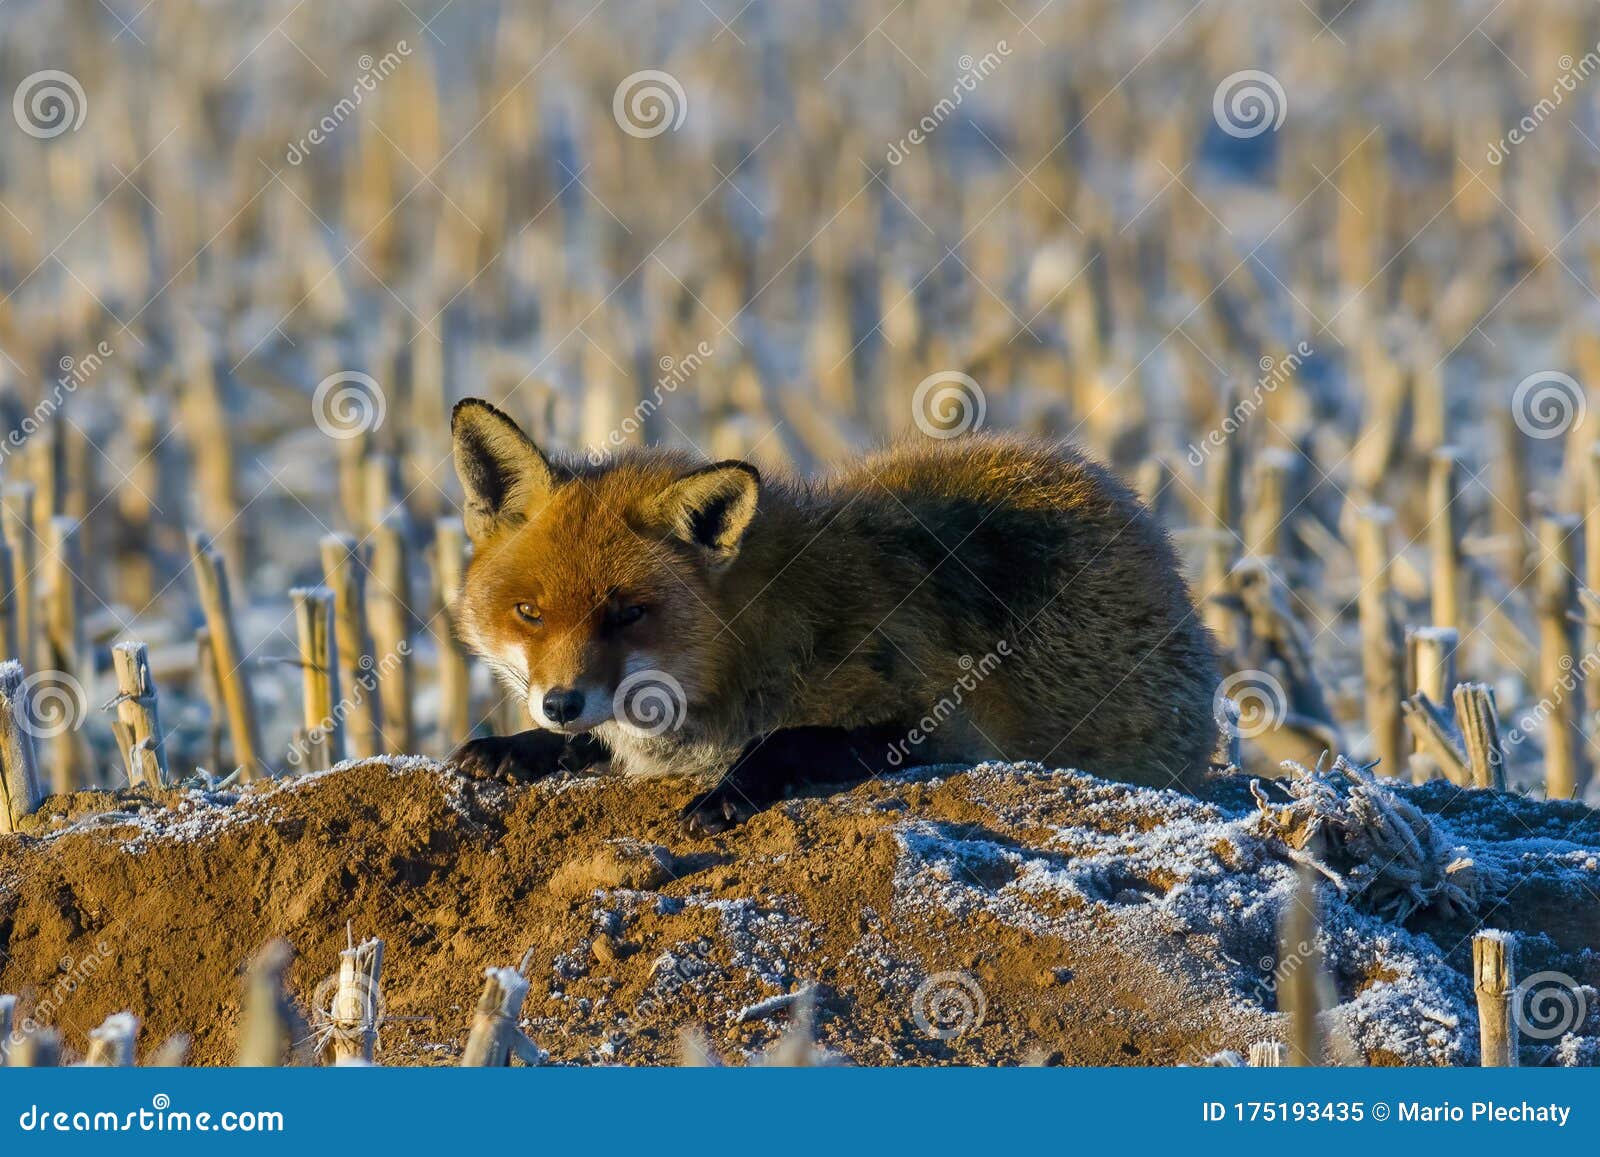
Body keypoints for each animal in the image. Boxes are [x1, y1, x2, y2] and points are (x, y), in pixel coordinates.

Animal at [446, 397, 1221, 834]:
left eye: (629, 614)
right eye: (528, 612)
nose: (560, 701)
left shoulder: (941, 722)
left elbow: (787, 739)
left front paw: (730, 793)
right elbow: (590, 744)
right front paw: (518, 746)